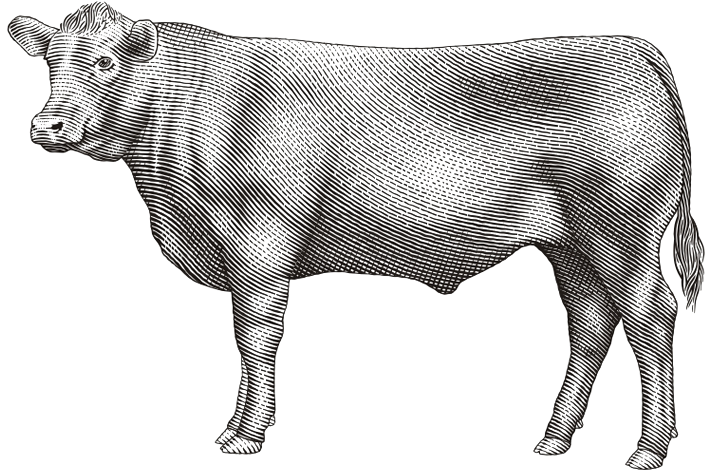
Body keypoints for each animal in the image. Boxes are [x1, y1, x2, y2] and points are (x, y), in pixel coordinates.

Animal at [8, 2, 704, 468]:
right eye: (53, 64)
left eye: (113, 67)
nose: (45, 126)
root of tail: (642, 54)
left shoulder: (259, 255)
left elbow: (254, 341)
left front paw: (243, 434)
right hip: (570, 246)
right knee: (590, 324)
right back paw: (554, 438)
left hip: (621, 236)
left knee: (650, 317)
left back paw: (648, 448)